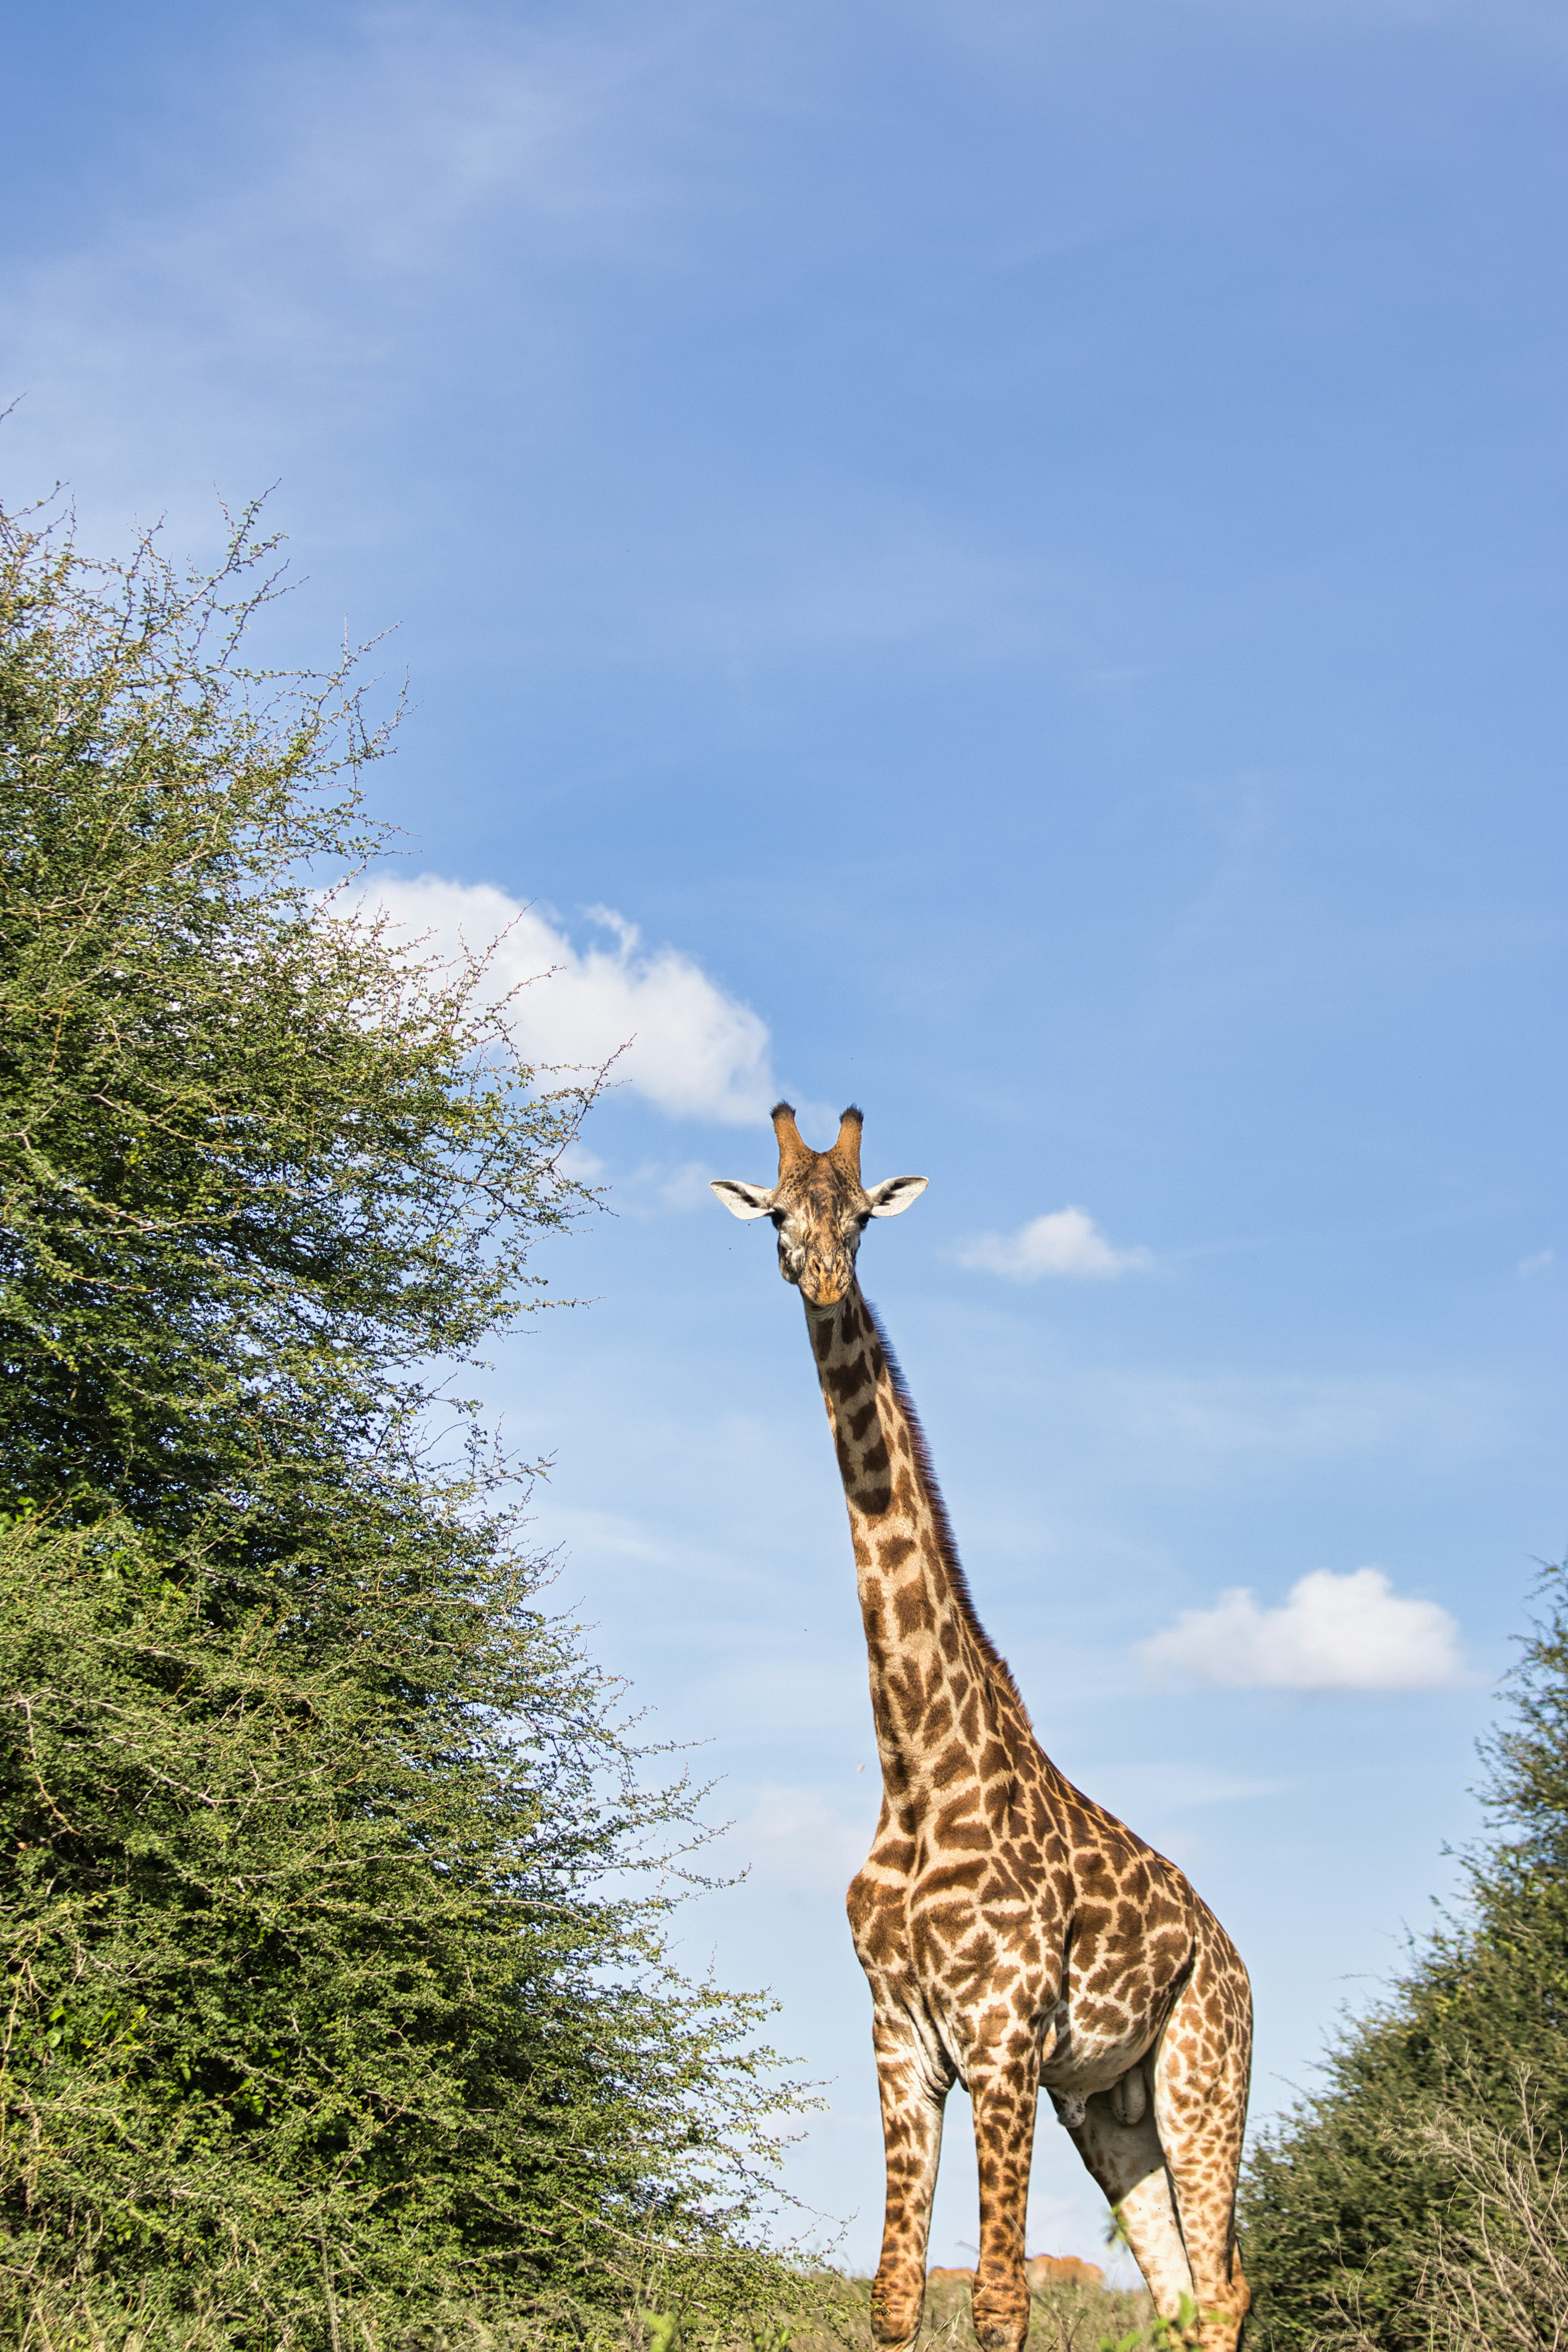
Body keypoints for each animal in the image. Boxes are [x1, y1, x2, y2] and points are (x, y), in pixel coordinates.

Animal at [712, 1104, 1253, 2352]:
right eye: (776, 1215)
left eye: (862, 1217)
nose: (822, 1278)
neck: (916, 1769)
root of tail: (1236, 1961)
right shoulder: (902, 2038)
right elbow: (896, 2295)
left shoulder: (1003, 2037)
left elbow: (1000, 2300)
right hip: (1110, 2105)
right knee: (1178, 2292)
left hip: (1204, 2079)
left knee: (1223, 2290)